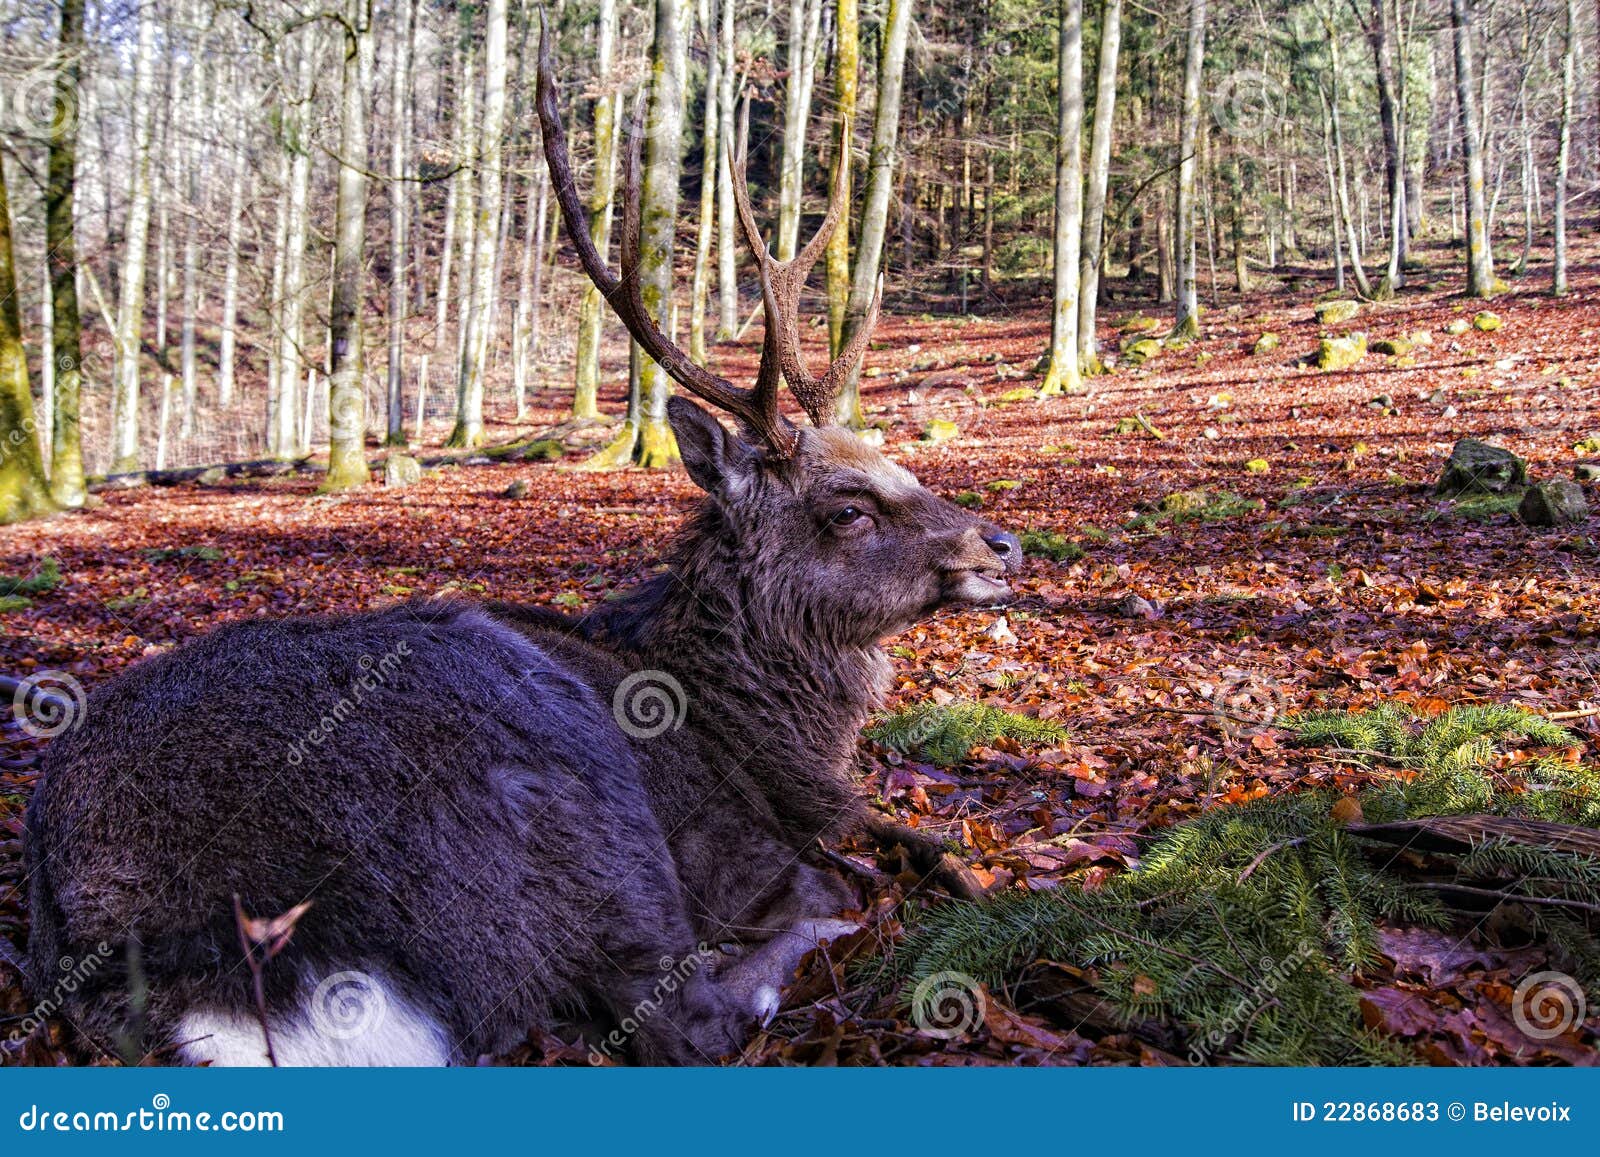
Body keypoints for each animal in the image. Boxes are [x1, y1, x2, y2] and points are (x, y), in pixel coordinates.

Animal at [21, 23, 1020, 1067]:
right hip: (562, 791)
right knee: (680, 1012)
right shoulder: (734, 839)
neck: (766, 734)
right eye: (848, 507)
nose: (1004, 546)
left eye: (894, 455)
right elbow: (836, 879)